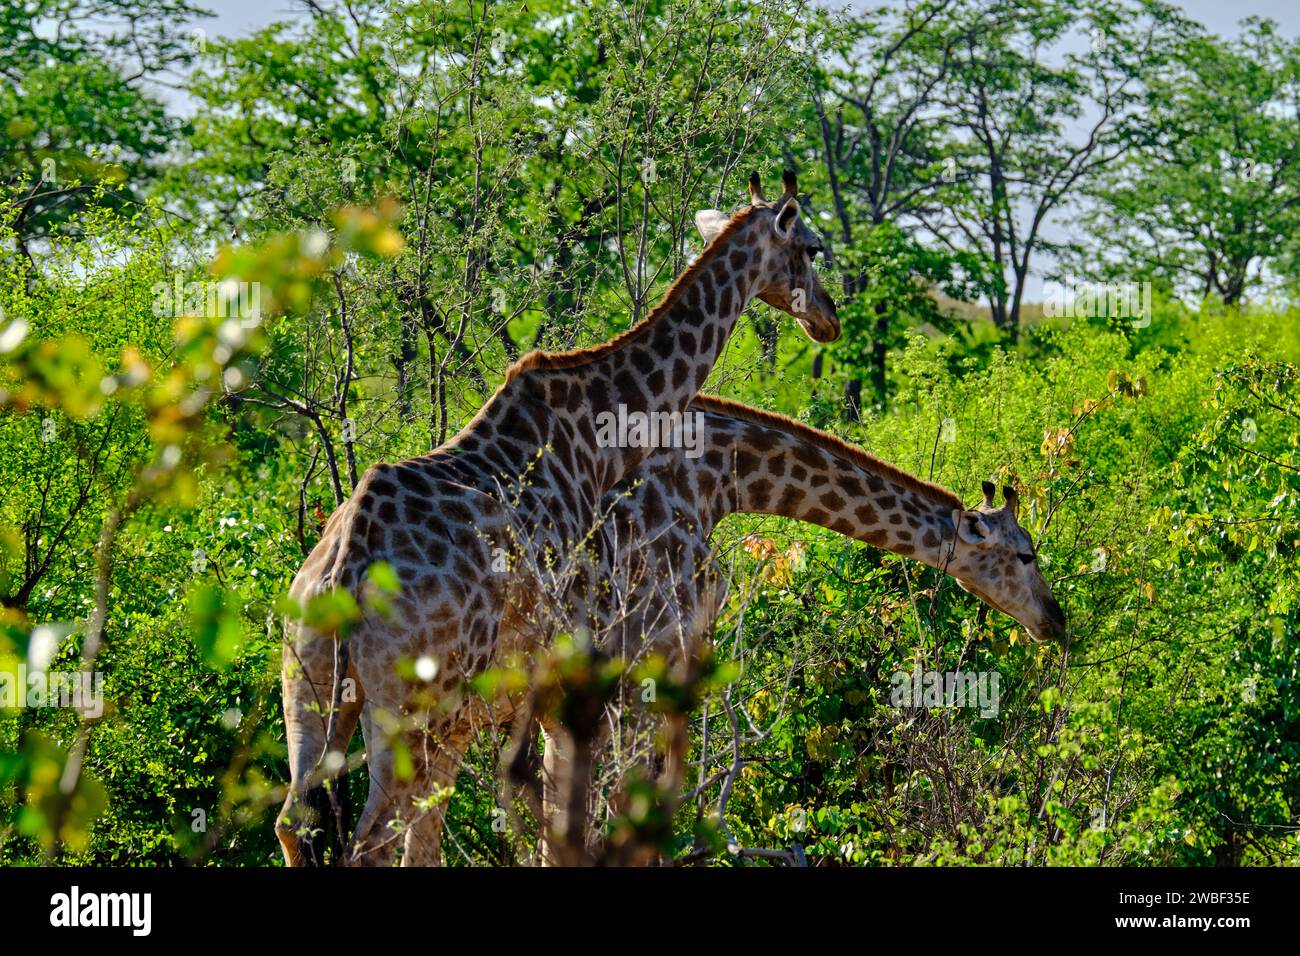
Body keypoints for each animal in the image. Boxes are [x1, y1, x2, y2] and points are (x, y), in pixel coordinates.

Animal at [276, 171, 840, 866]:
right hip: (410, 704)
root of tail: (346, 571)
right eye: (812, 248)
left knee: (294, 819)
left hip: (308, 685)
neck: (596, 431)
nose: (829, 318)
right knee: (373, 839)